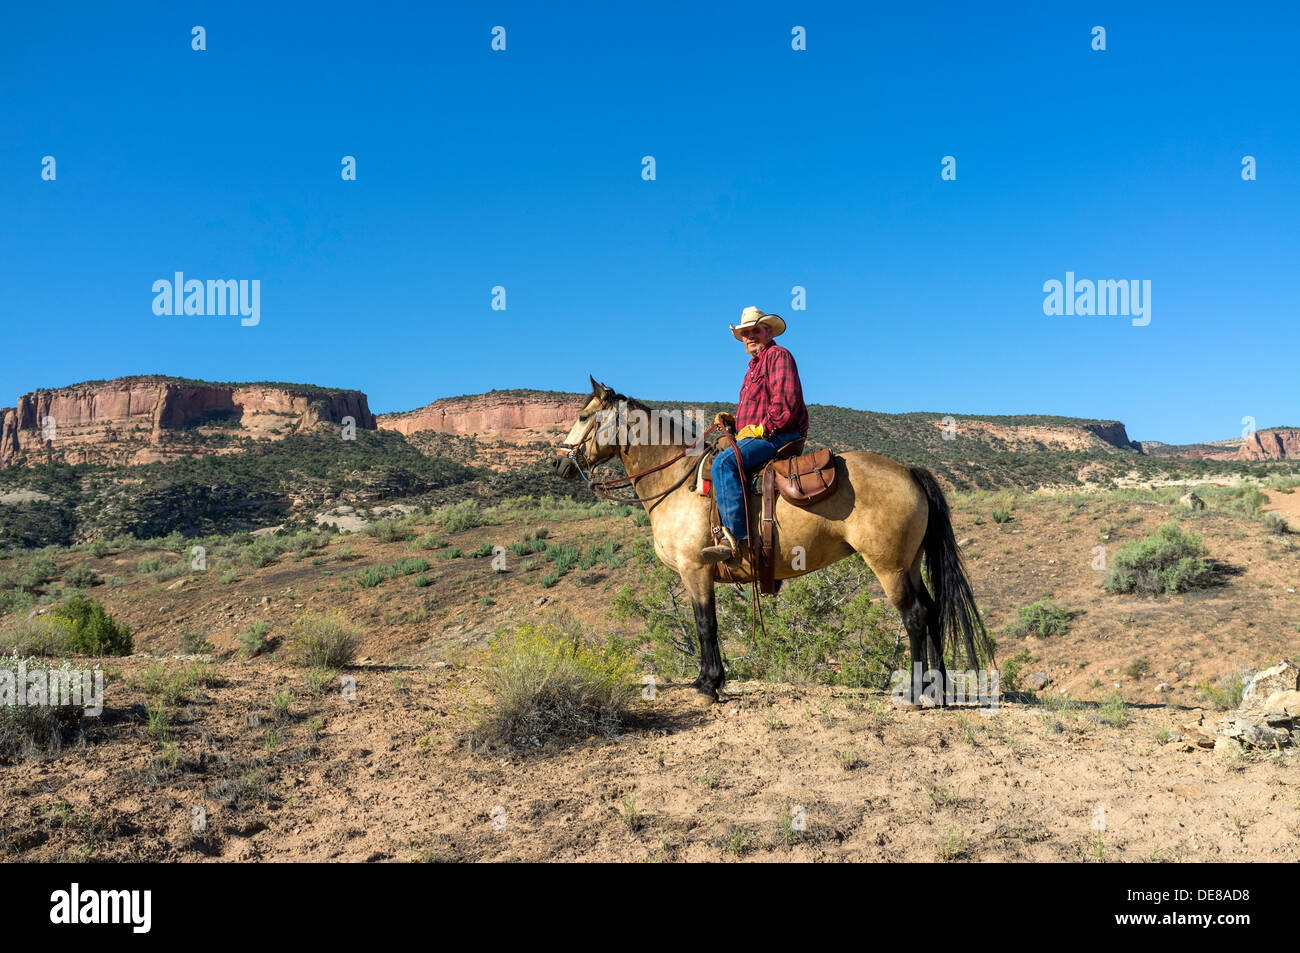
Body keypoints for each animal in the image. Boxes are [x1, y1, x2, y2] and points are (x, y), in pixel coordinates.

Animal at [552, 377, 991, 703]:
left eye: (583, 415)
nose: (559, 463)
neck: (676, 482)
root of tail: (910, 472)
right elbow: (708, 625)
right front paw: (710, 680)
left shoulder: (695, 569)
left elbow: (704, 624)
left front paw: (709, 684)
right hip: (910, 563)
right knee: (931, 612)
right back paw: (937, 690)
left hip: (889, 566)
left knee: (914, 616)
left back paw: (916, 694)